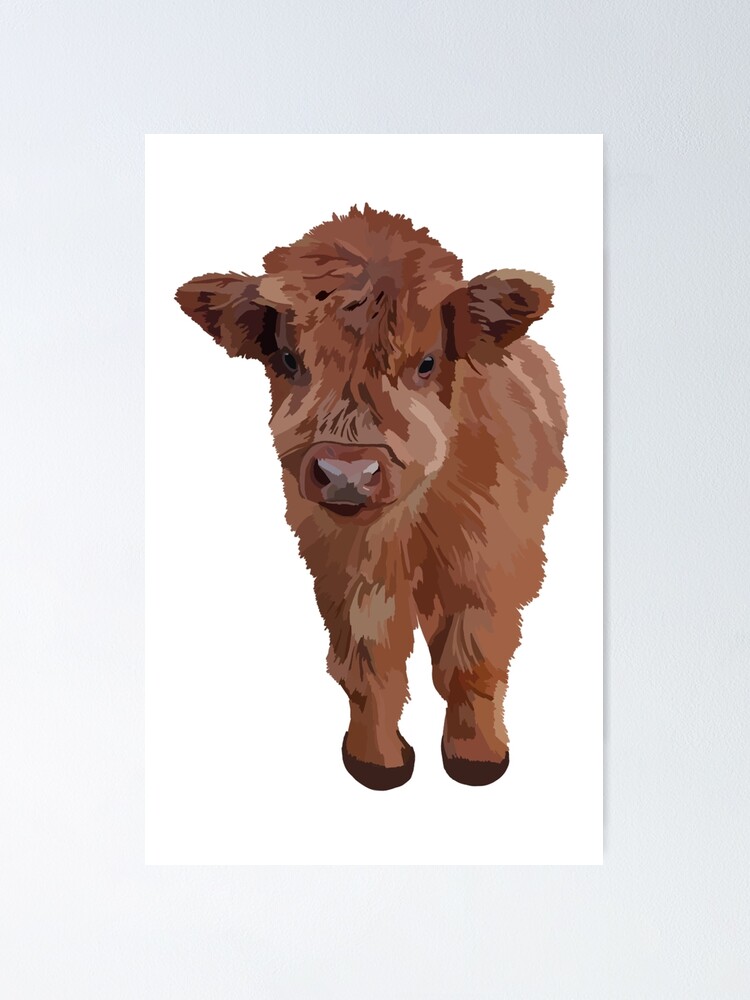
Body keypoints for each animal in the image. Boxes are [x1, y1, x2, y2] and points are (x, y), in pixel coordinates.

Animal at [175, 204, 567, 790]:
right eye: (288, 358)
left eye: (426, 362)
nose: (347, 473)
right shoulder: (345, 569)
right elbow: (368, 663)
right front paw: (377, 762)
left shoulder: (491, 565)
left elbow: (473, 662)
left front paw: (477, 758)